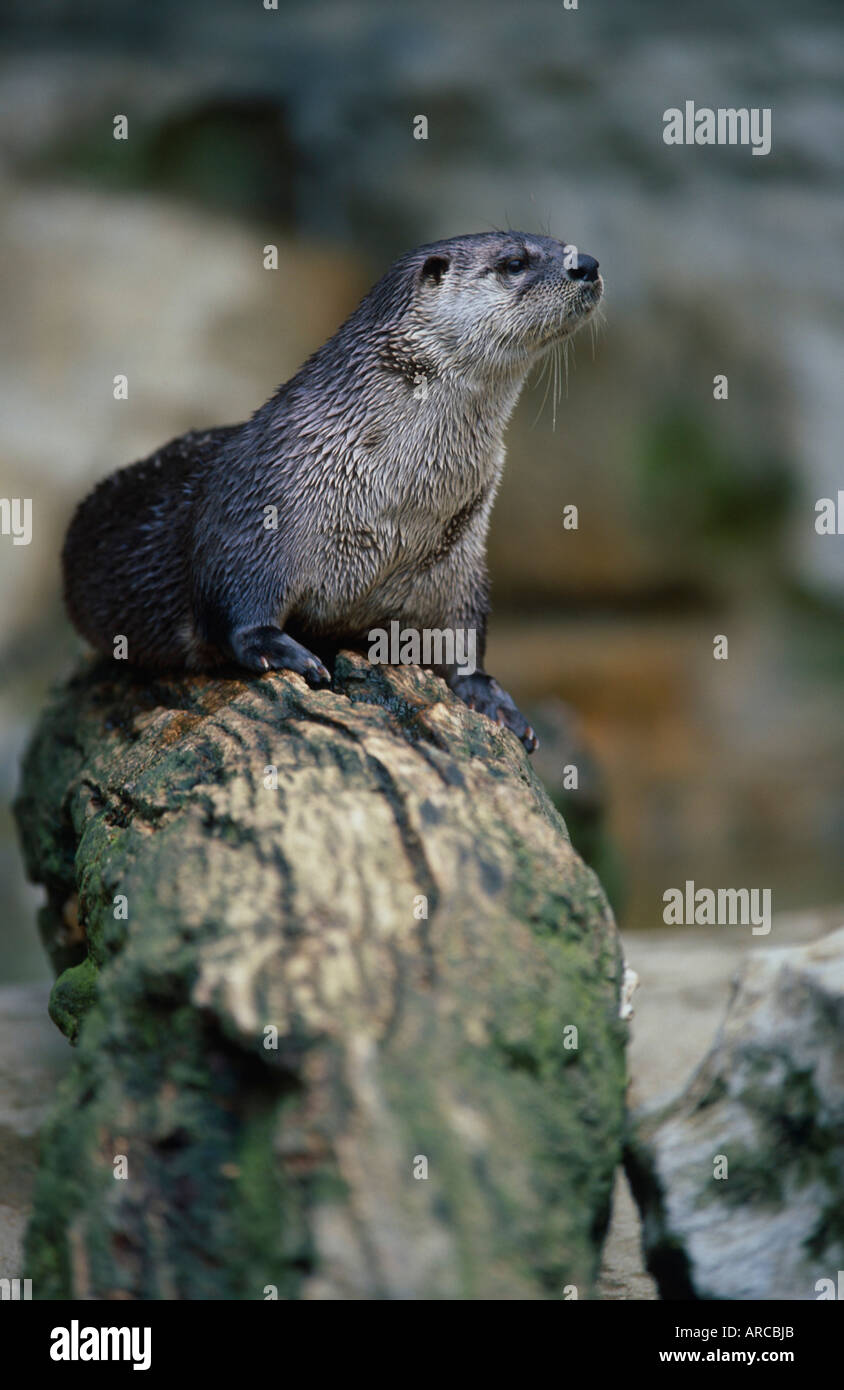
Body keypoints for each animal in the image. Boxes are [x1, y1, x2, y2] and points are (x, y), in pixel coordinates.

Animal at [62, 231, 602, 752]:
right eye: (515, 262)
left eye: (563, 246)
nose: (588, 264)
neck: (392, 503)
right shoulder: (256, 509)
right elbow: (234, 603)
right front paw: (284, 651)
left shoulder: (459, 553)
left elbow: (463, 634)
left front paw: (490, 696)